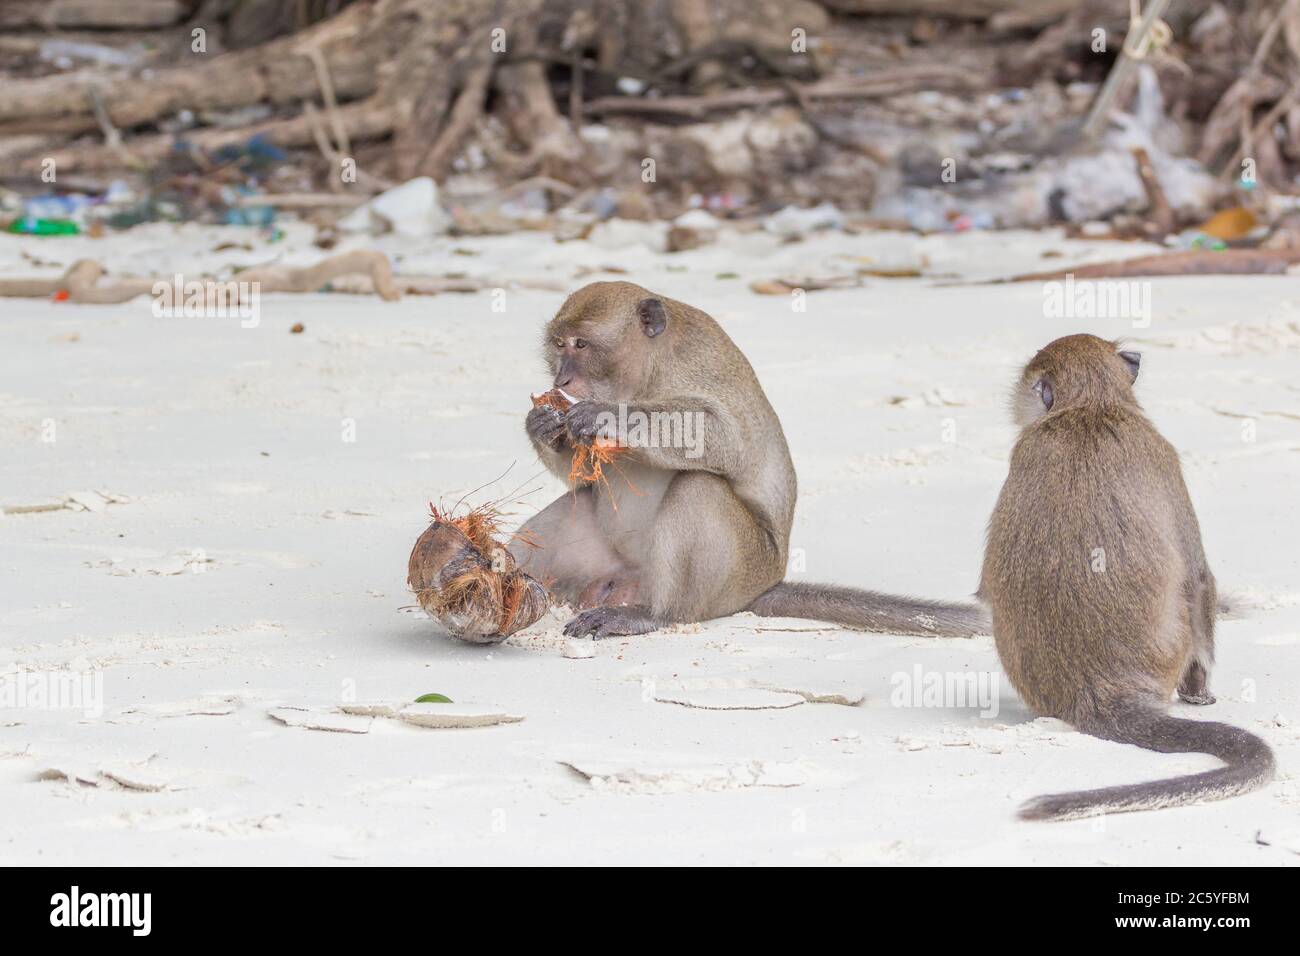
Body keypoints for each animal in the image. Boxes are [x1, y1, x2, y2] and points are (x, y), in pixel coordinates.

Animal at [508, 280, 989, 640]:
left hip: (741, 568)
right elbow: (583, 478)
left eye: (582, 345)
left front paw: (606, 414)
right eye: (558, 345)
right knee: (571, 511)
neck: (647, 372)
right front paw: (542, 424)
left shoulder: (696, 365)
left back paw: (656, 615)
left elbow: (722, 438)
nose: (561, 379)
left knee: (699, 487)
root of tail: (765, 583)